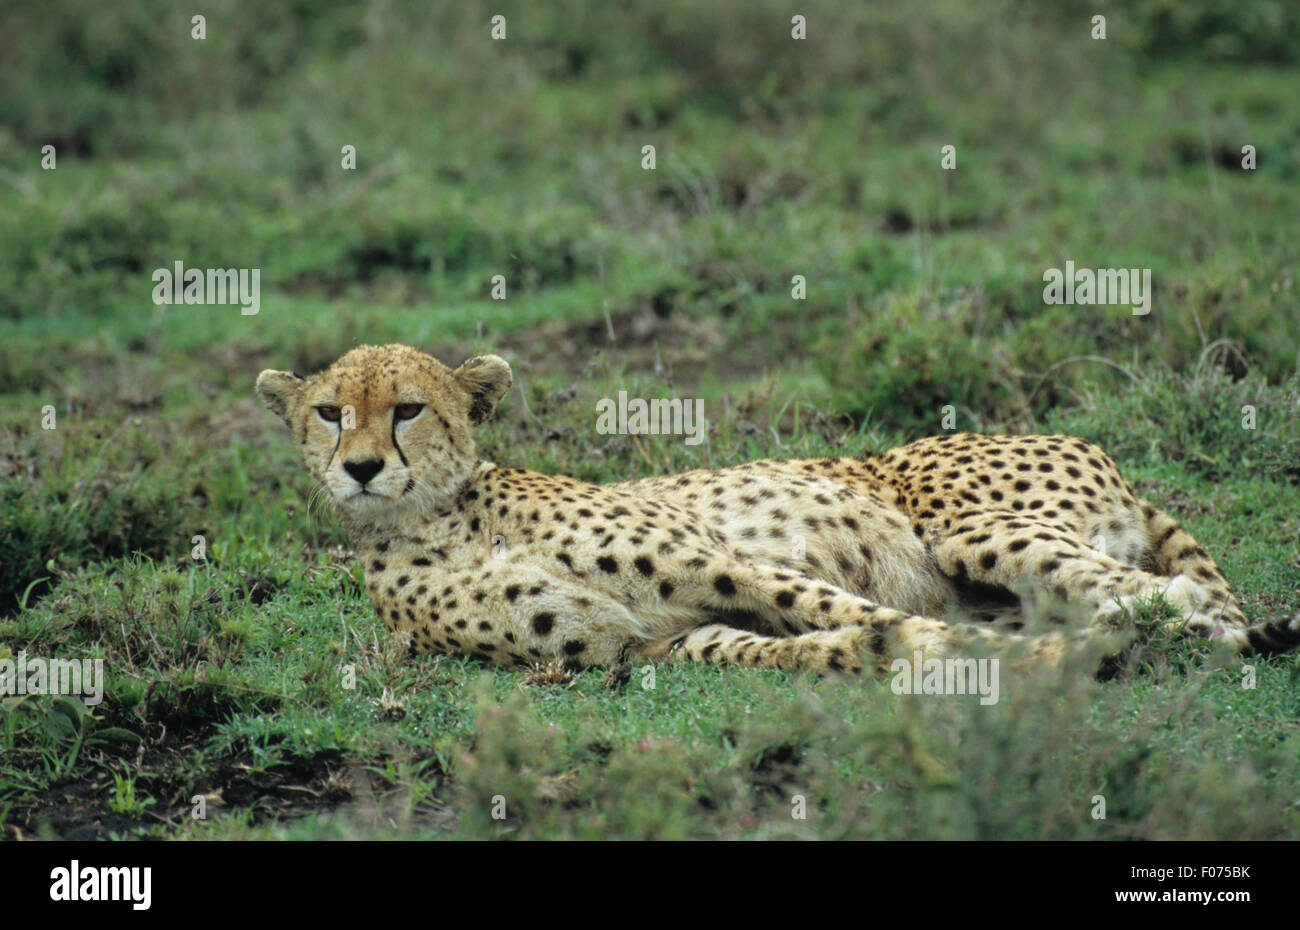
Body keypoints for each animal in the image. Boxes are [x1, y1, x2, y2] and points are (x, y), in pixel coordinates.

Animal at [256, 343, 1300, 676]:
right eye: (329, 412)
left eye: (407, 408)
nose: (359, 468)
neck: (434, 520)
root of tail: (1092, 445)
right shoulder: (644, 641)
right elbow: (784, 646)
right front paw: (891, 652)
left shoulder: (729, 564)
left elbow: (841, 606)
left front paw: (930, 647)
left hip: (977, 529)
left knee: (1157, 592)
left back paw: (1156, 625)